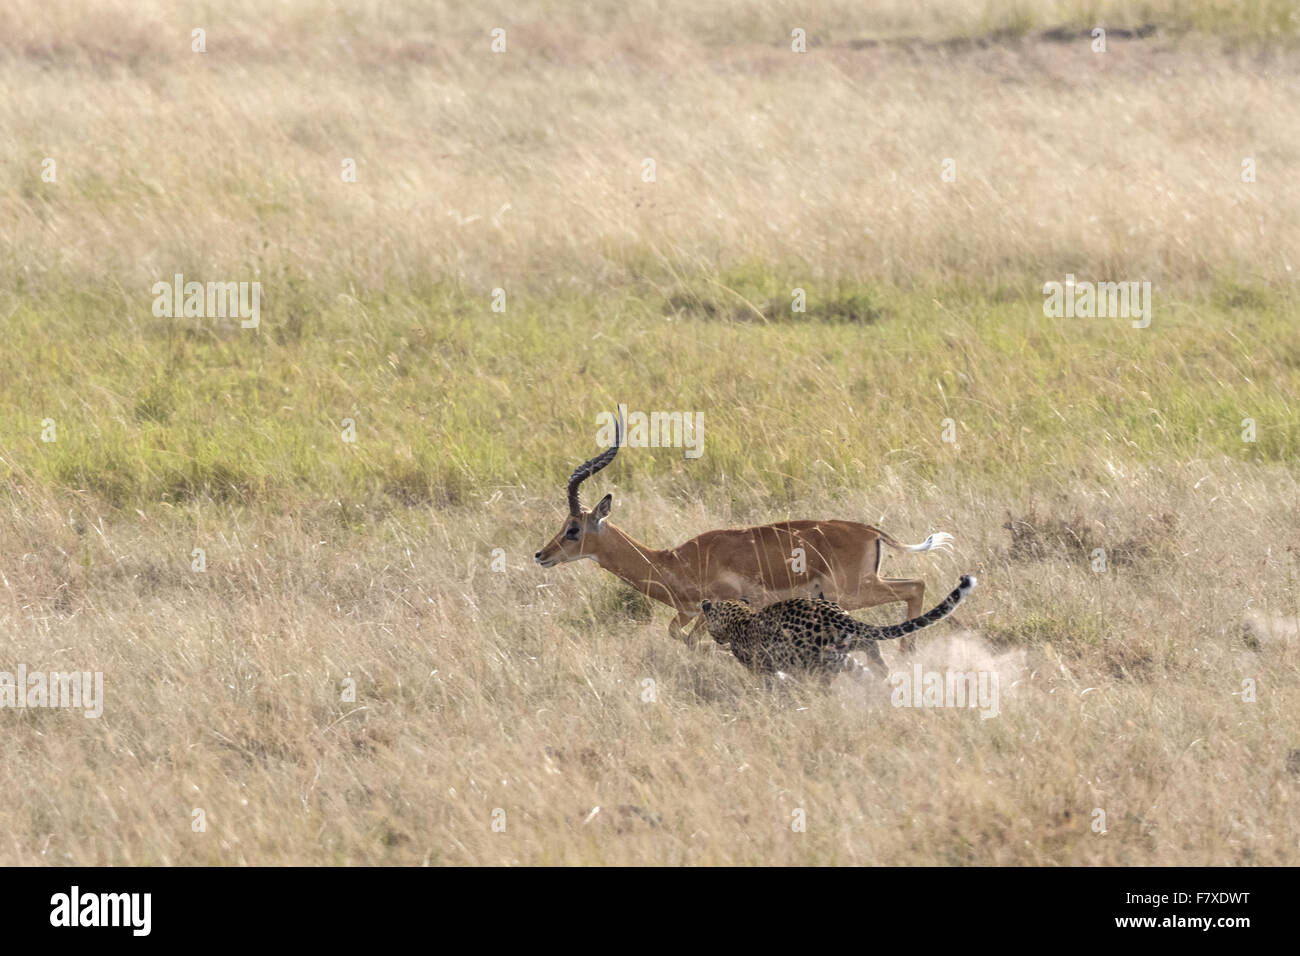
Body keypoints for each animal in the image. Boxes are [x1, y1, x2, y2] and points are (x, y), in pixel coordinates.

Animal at [700, 575, 976, 681]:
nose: (717, 640)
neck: (741, 616)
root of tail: (837, 615)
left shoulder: (762, 667)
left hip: (820, 661)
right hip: (843, 647)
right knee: (868, 650)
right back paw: (881, 673)